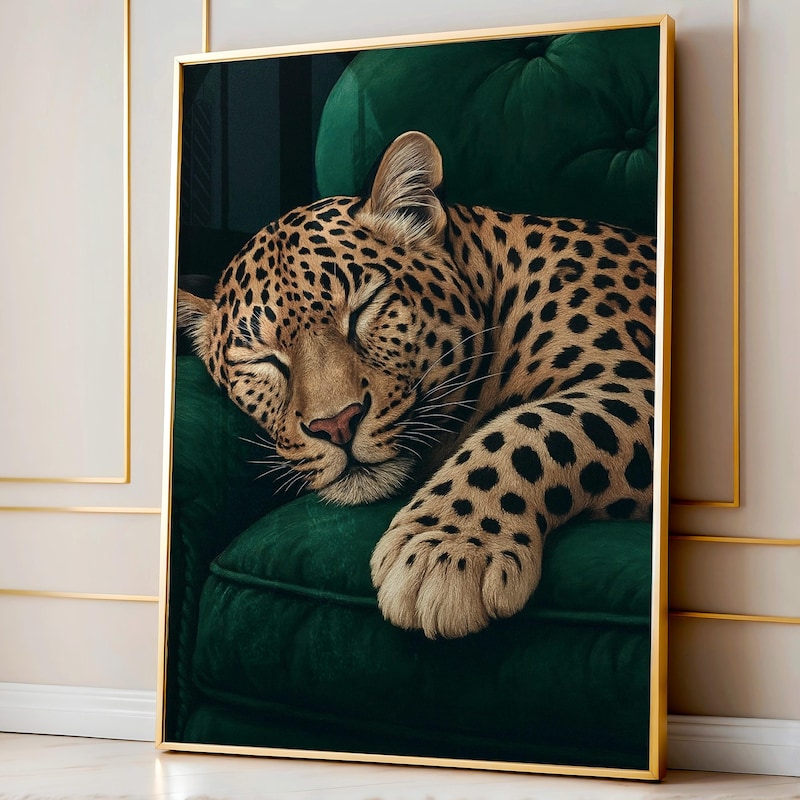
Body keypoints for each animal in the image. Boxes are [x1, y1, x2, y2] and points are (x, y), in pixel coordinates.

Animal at [178, 130, 658, 640]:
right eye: (263, 360)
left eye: (364, 308)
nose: (337, 425)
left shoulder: (637, 382)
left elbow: (533, 428)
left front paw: (445, 551)